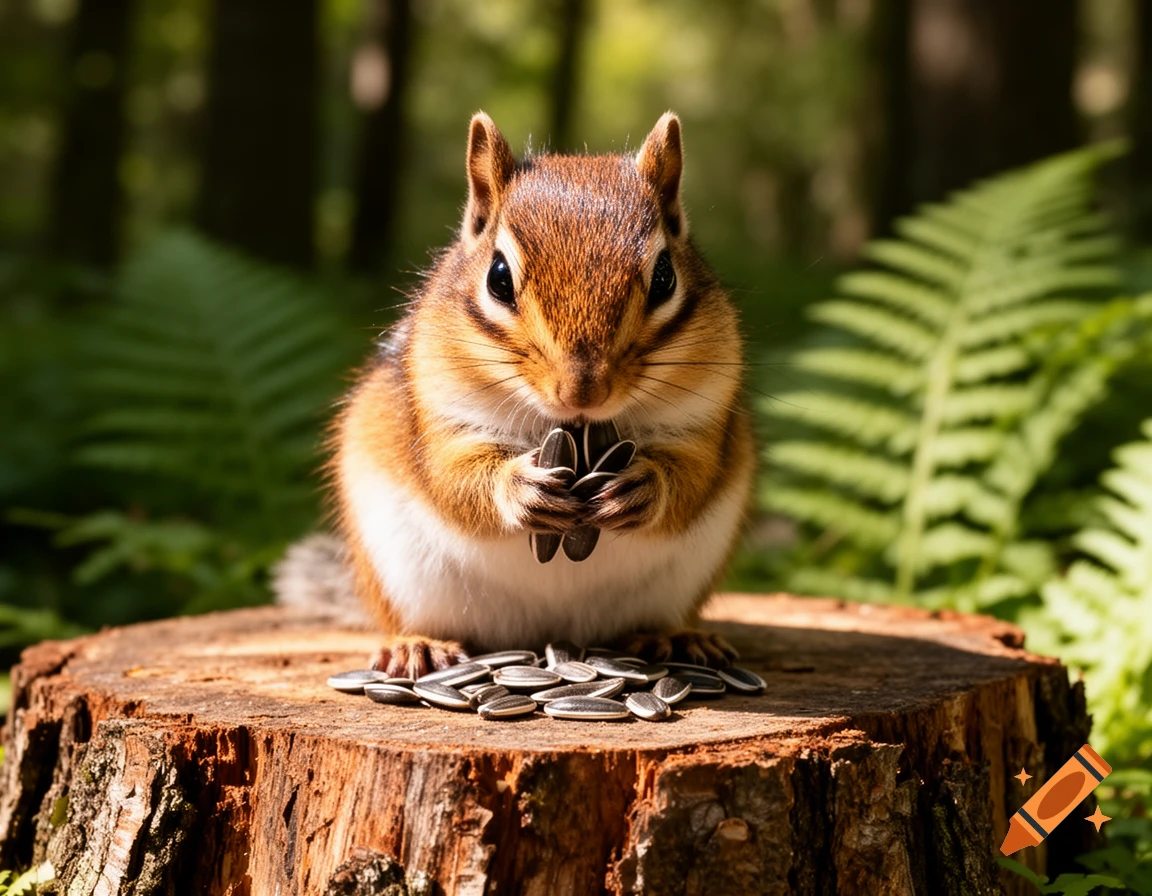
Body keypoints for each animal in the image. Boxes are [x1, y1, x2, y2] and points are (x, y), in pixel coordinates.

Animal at [277, 112, 756, 679]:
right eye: (498, 276)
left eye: (664, 277)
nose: (582, 390)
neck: (574, 426)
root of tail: (550, 636)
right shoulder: (440, 413)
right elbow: (454, 476)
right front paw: (519, 488)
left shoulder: (704, 419)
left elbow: (693, 474)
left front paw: (641, 485)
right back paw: (416, 645)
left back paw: (677, 638)